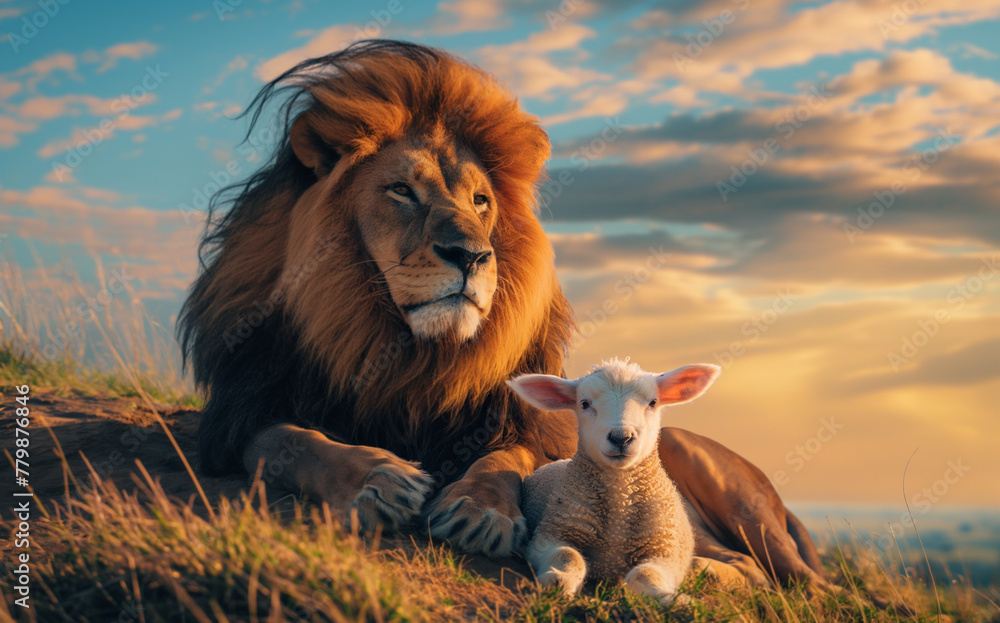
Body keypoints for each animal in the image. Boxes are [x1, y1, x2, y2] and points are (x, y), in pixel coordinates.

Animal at [507, 358, 720, 604]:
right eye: (584, 403)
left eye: (653, 402)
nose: (621, 438)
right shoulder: (551, 535)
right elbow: (569, 555)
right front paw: (559, 581)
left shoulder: (665, 552)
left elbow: (645, 573)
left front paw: (671, 599)